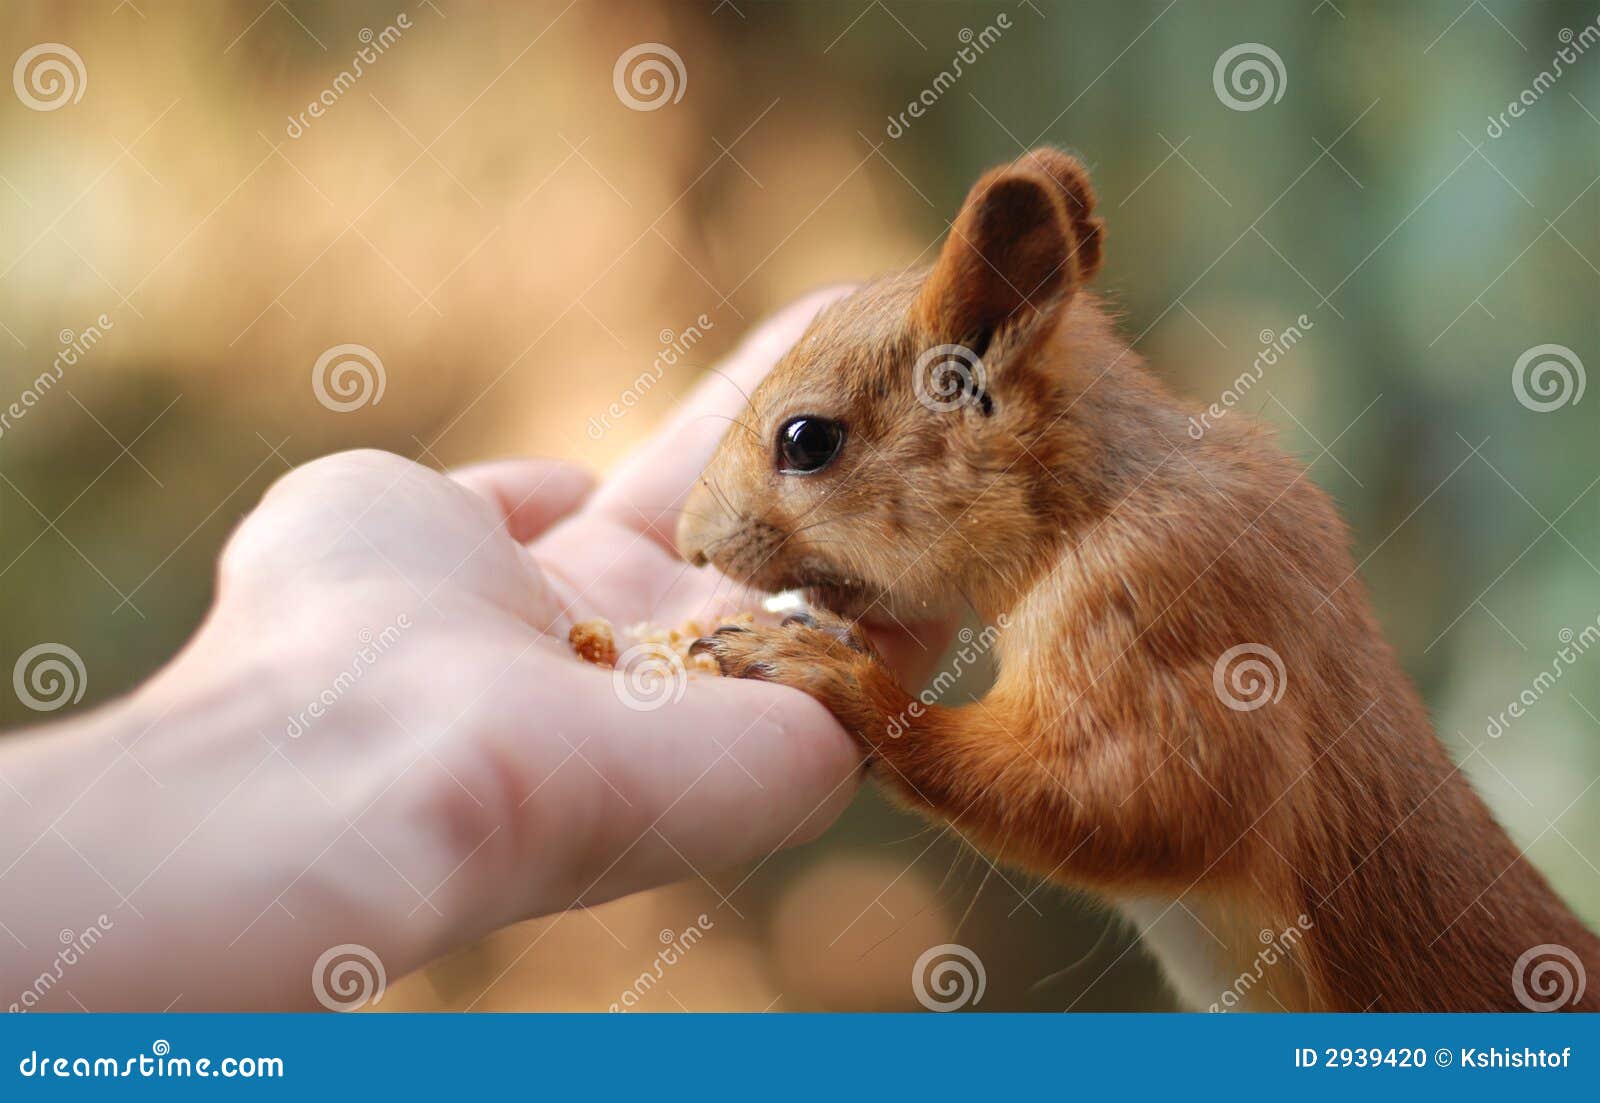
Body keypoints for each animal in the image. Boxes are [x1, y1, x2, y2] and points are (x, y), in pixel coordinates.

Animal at [676, 147, 1600, 1012]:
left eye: (807, 440)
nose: (690, 542)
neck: (1089, 504)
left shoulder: (1163, 619)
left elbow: (1137, 799)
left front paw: (832, 674)